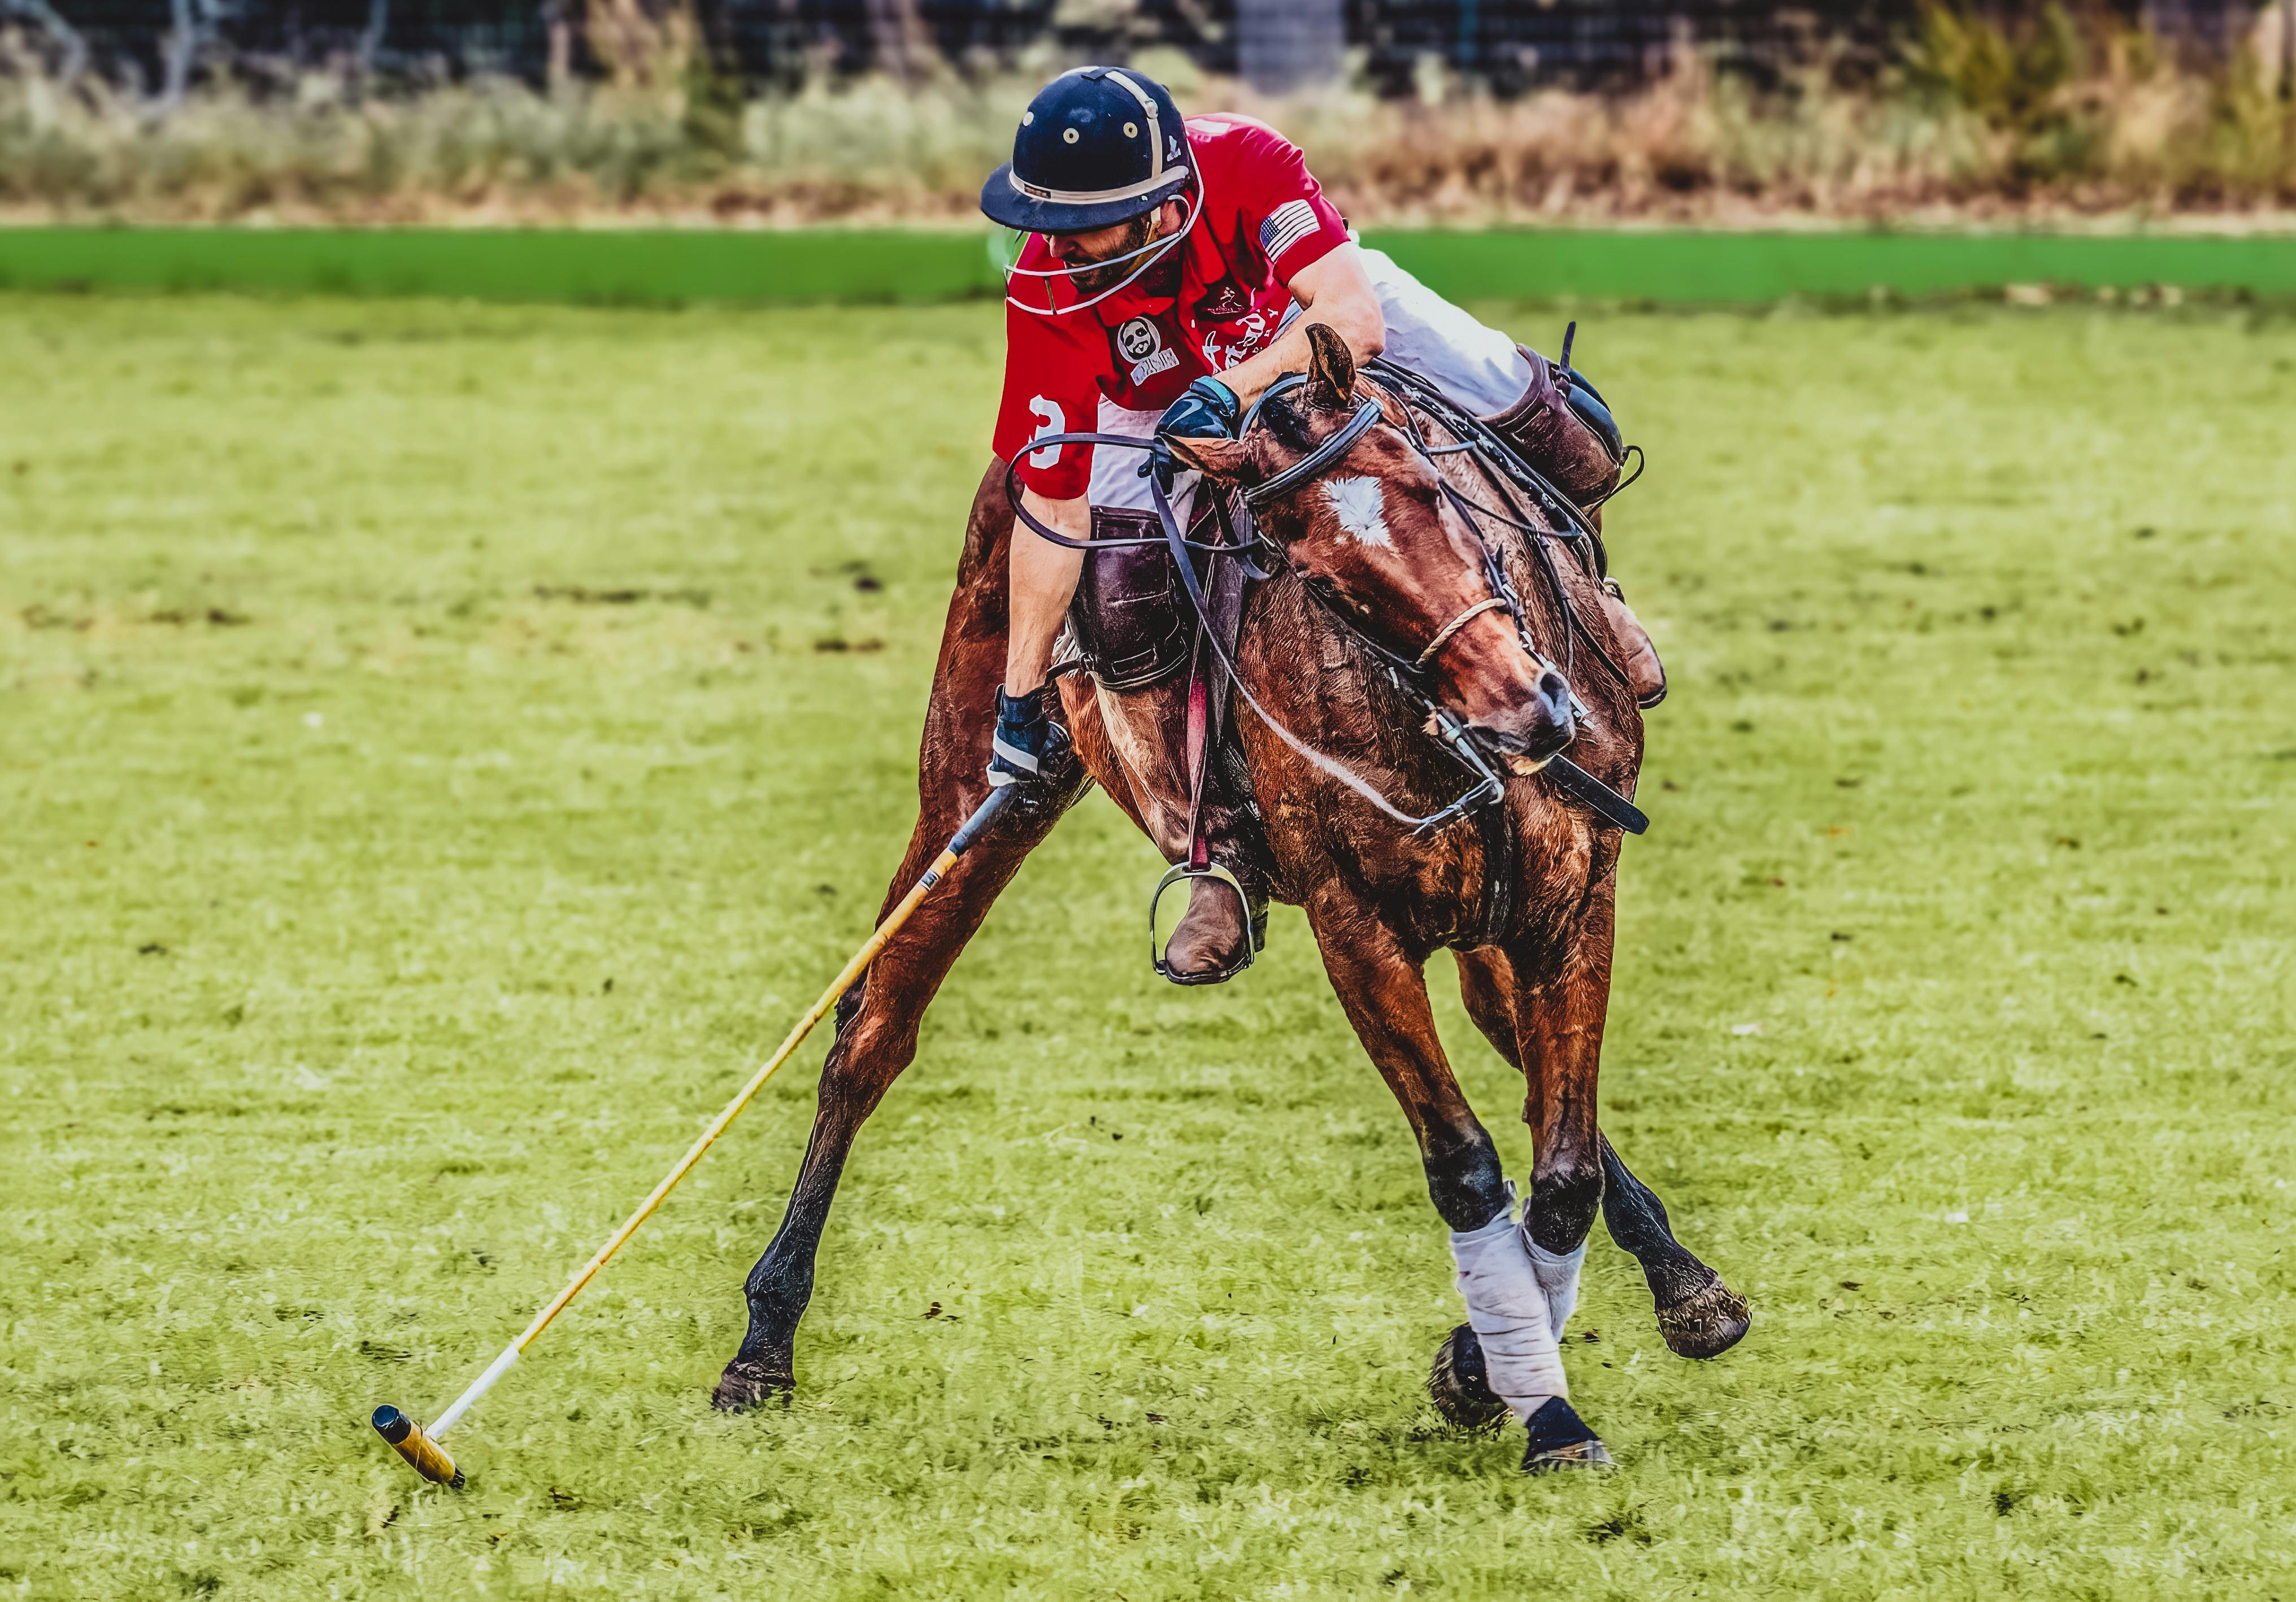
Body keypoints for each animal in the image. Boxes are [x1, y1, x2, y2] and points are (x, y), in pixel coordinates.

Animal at [712, 323, 1747, 1465]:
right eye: (1321, 578)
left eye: (1434, 485)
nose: (1530, 710)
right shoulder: (1356, 927)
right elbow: (1465, 1165)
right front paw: (1509, 1388)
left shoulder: (1573, 900)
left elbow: (1562, 1170)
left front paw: (1506, 1365)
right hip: (975, 778)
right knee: (872, 1027)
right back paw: (762, 1342)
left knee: (1508, 1037)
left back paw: (1685, 1283)